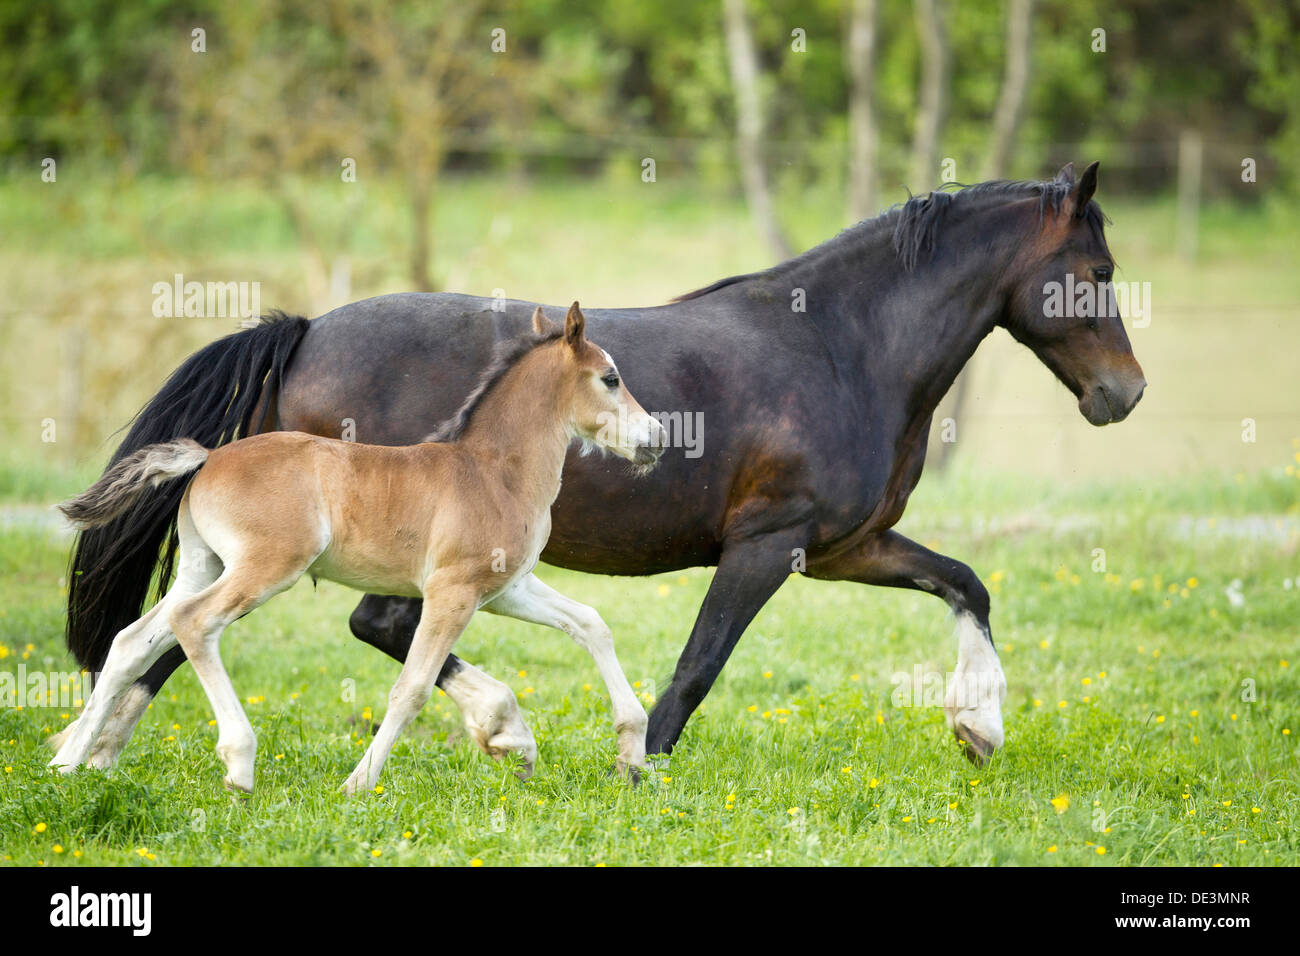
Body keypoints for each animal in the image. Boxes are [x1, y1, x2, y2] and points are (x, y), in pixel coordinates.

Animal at [52, 304, 665, 793]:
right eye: (611, 378)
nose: (656, 438)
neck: (493, 471)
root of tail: (208, 457)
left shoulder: (506, 588)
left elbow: (590, 623)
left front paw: (626, 755)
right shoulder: (453, 590)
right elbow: (412, 687)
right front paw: (359, 783)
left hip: (205, 566)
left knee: (131, 642)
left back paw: (68, 763)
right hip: (264, 569)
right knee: (193, 624)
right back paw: (239, 763)